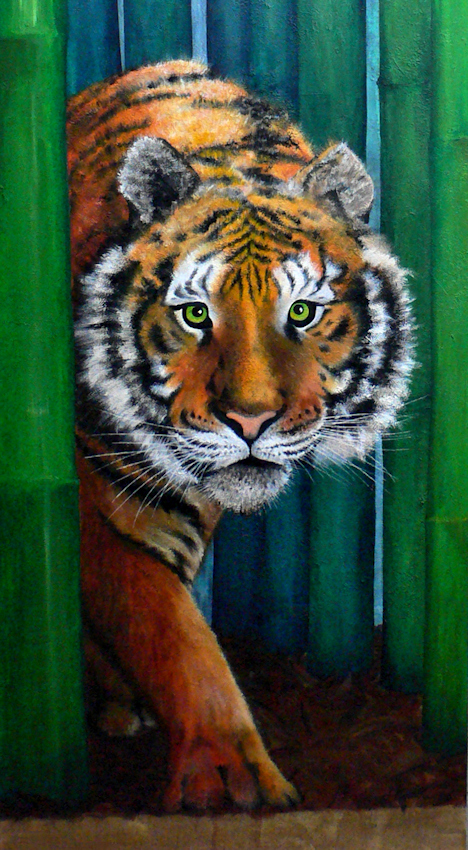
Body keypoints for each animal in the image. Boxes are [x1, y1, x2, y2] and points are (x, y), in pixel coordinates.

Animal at [67, 59, 413, 811]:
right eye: (195, 314)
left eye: (304, 313)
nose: (250, 422)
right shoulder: (101, 498)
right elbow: (172, 634)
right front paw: (228, 780)